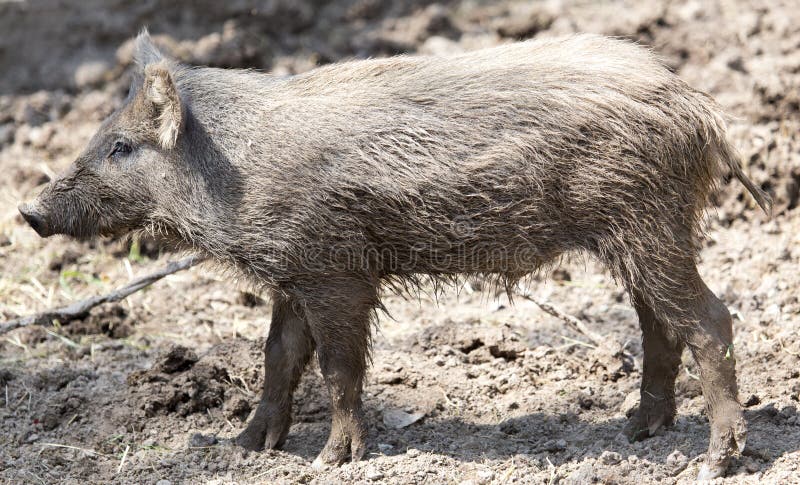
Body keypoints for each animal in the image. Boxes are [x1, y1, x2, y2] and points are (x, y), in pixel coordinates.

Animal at [18, 31, 770, 479]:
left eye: (123, 147)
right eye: (104, 135)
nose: (29, 212)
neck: (233, 171)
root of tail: (701, 109)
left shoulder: (336, 272)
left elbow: (339, 367)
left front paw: (330, 461)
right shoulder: (293, 276)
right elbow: (278, 359)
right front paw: (242, 448)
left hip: (649, 226)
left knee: (711, 320)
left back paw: (715, 461)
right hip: (638, 235)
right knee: (658, 326)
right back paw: (638, 431)